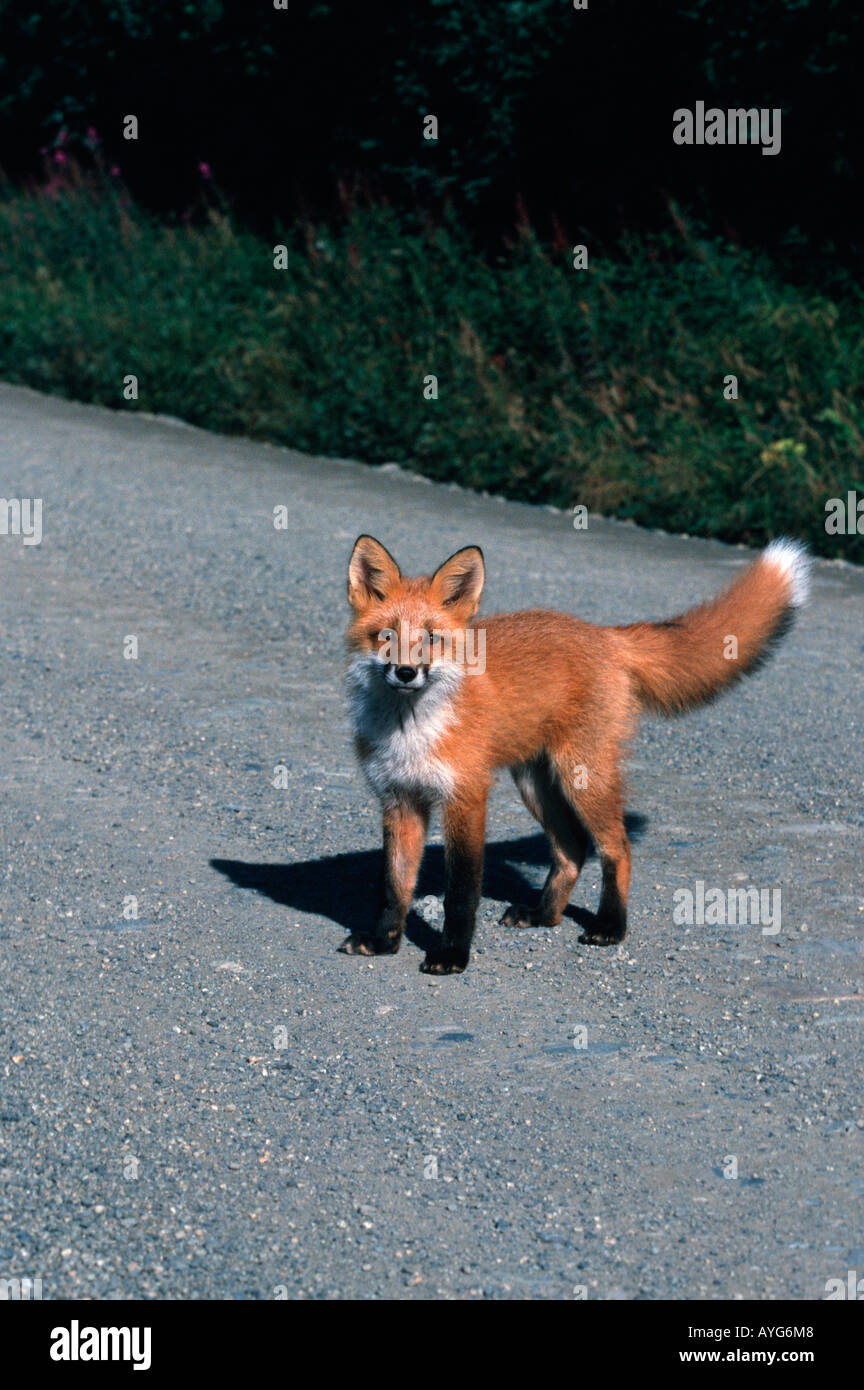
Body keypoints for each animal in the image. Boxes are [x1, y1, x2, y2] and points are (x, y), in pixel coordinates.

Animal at [341, 533, 810, 975]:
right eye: (386, 636)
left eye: (433, 639)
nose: (406, 672)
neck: (410, 730)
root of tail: (604, 633)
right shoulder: (400, 800)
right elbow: (394, 886)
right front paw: (383, 942)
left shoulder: (466, 798)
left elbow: (460, 893)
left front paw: (452, 956)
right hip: (535, 783)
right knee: (573, 846)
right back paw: (545, 915)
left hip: (582, 777)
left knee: (617, 847)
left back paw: (611, 927)